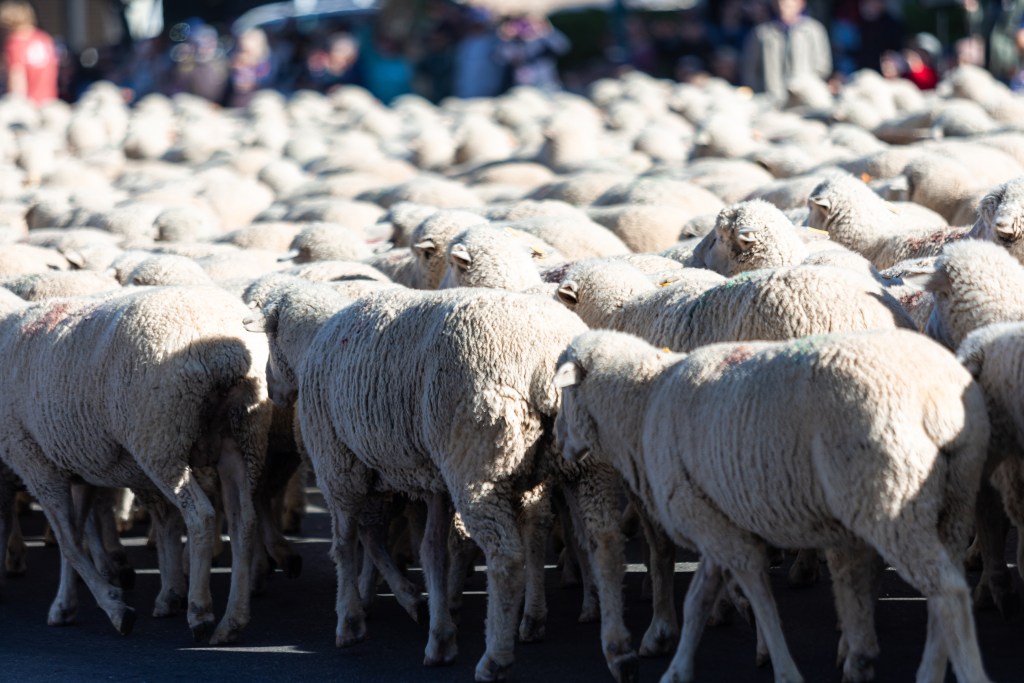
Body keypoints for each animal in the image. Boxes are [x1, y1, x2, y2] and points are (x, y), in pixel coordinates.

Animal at [0, 286, 272, 644]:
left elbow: (69, 544)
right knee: (244, 521)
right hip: (241, 437)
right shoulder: (77, 465)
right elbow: (75, 535)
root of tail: (226, 354)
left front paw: (115, 608)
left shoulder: (34, 461)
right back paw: (232, 622)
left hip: (161, 438)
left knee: (201, 516)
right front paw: (66, 605)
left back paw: (200, 613)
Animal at [245, 280, 639, 683]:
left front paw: (352, 620)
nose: (272, 392)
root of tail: (546, 362)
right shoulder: (433, 483)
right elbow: (431, 551)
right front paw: (438, 633)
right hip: (585, 465)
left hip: (478, 467)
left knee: (506, 557)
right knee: (604, 542)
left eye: (270, 339)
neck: (315, 340)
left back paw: (495, 657)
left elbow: (347, 543)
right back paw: (617, 650)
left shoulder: (337, 465)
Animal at [552, 328, 992, 683]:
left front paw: (783, 668)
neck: (643, 405)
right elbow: (699, 600)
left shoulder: (707, 519)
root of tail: (936, 399)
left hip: (893, 501)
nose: (556, 442)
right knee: (941, 597)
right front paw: (677, 670)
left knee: (950, 593)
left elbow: (760, 596)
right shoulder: (716, 519)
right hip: (954, 502)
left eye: (564, 392)